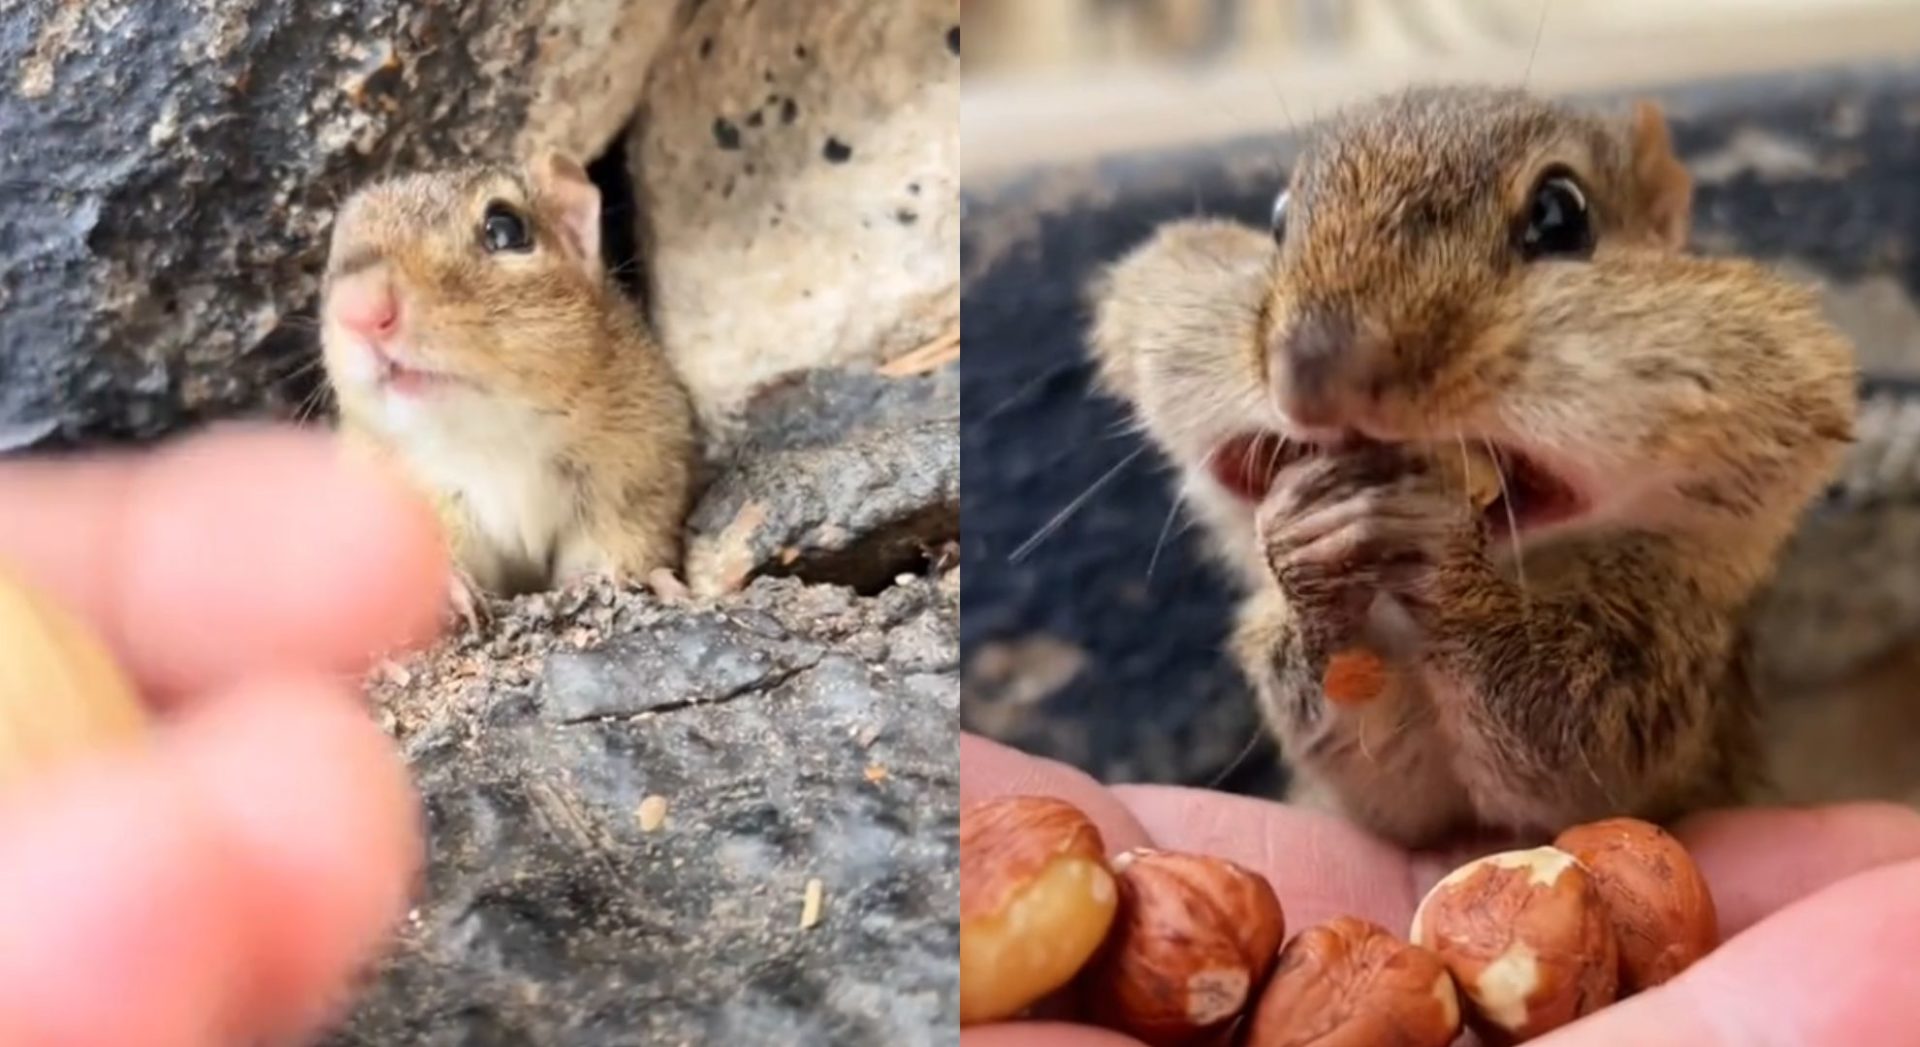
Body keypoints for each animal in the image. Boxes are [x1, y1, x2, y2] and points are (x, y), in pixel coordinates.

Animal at [320, 152, 698, 619]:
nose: (357, 308)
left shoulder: (636, 482)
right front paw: (449, 591)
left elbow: (622, 546)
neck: (491, 438)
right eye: (335, 250)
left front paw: (653, 580)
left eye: (505, 228)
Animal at [1086, 85, 1858, 849]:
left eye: (1561, 214)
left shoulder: (1660, 688)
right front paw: (1302, 540)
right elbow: (1376, 772)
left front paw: (1440, 549)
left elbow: (1577, 762)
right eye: (1277, 220)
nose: (1314, 377)